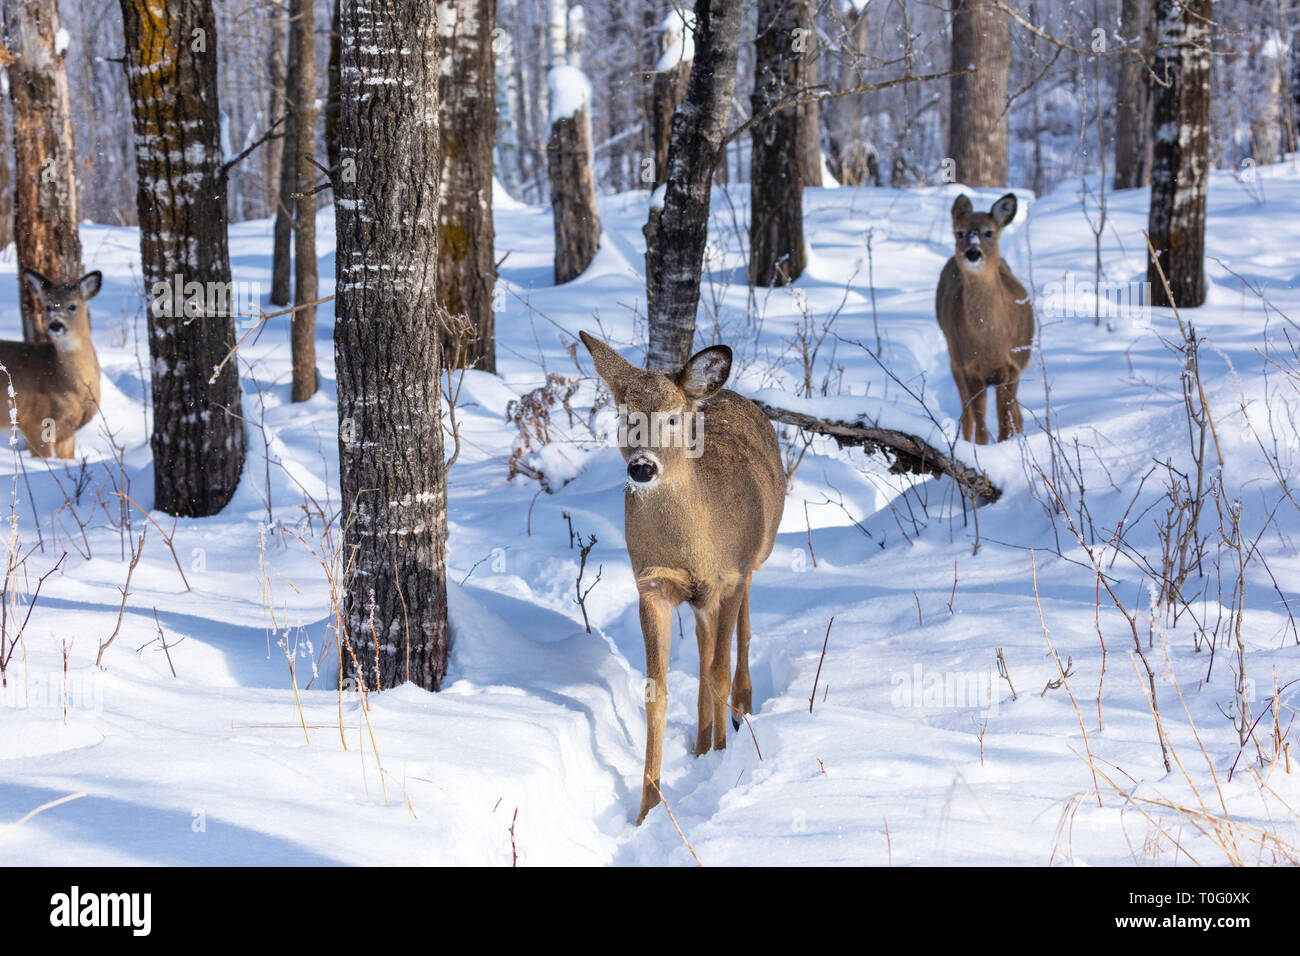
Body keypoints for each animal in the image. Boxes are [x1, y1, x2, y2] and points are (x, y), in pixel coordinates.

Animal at [579, 331, 785, 824]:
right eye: (627, 415)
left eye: (673, 417)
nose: (641, 467)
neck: (693, 546)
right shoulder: (652, 587)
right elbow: (658, 691)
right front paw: (647, 809)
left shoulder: (729, 578)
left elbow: (719, 671)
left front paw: (725, 754)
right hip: (699, 598)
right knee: (706, 646)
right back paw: (701, 743)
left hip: (754, 558)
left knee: (740, 635)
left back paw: (739, 711)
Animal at [935, 193, 1035, 444]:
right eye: (960, 232)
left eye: (989, 232)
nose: (972, 253)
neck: (991, 342)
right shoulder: (970, 366)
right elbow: (981, 422)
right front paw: (982, 448)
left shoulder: (1013, 366)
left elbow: (1005, 420)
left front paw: (1007, 444)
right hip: (954, 357)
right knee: (966, 414)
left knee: (1015, 413)